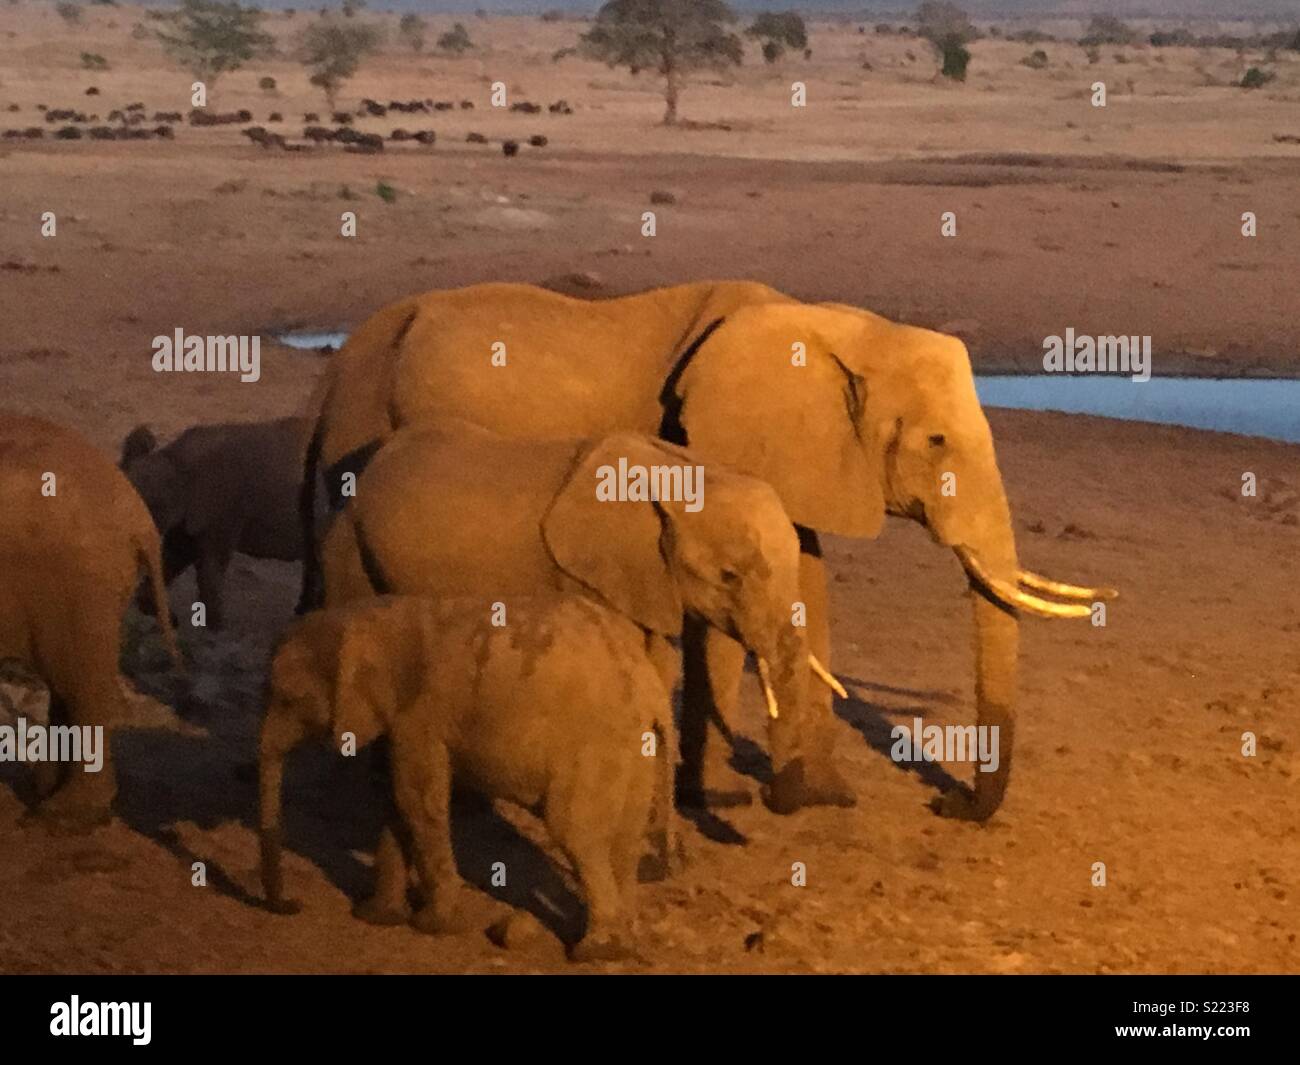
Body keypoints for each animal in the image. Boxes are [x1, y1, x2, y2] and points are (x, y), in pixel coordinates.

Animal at [0, 412, 182, 826]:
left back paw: (62, 815)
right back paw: (45, 790)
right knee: (68, 684)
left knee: (79, 686)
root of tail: (138, 515)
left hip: (77, 582)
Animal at [120, 416, 308, 630]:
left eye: (149, 507)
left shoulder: (224, 508)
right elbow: (174, 555)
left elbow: (209, 565)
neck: (174, 459)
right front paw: (172, 620)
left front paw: (216, 629)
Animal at [260, 594, 674, 961]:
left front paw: (434, 925)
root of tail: (650, 686)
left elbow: (417, 801)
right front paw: (377, 916)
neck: (375, 616)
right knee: (624, 840)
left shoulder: (420, 717)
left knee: (575, 832)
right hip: (637, 749)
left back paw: (595, 951)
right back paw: (622, 942)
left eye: (288, 700)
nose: (293, 905)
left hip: (595, 743)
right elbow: (399, 802)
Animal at [299, 281, 1117, 822]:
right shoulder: (708, 443)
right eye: (937, 441)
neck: (840, 328)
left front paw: (820, 795)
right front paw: (730, 795)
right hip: (360, 438)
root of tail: (345, 356)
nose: (951, 811)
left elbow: (805, 577)